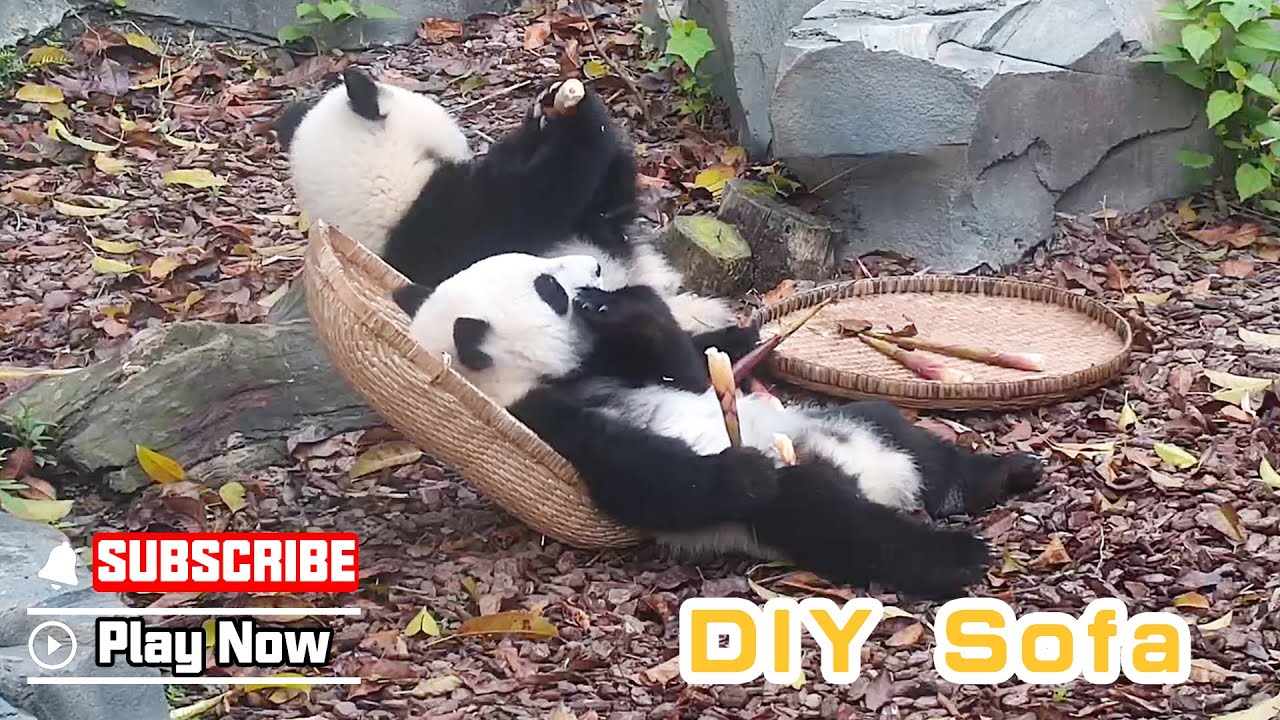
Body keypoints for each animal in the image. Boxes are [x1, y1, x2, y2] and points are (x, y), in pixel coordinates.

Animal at [392, 251, 1045, 600]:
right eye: (547, 287)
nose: (595, 270)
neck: (551, 375)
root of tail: (878, 478)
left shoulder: (619, 366)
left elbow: (684, 370)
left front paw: (622, 308)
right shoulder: (548, 423)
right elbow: (645, 479)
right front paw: (744, 471)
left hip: (839, 421)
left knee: (902, 435)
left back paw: (1000, 475)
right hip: (788, 504)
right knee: (838, 522)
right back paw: (954, 556)